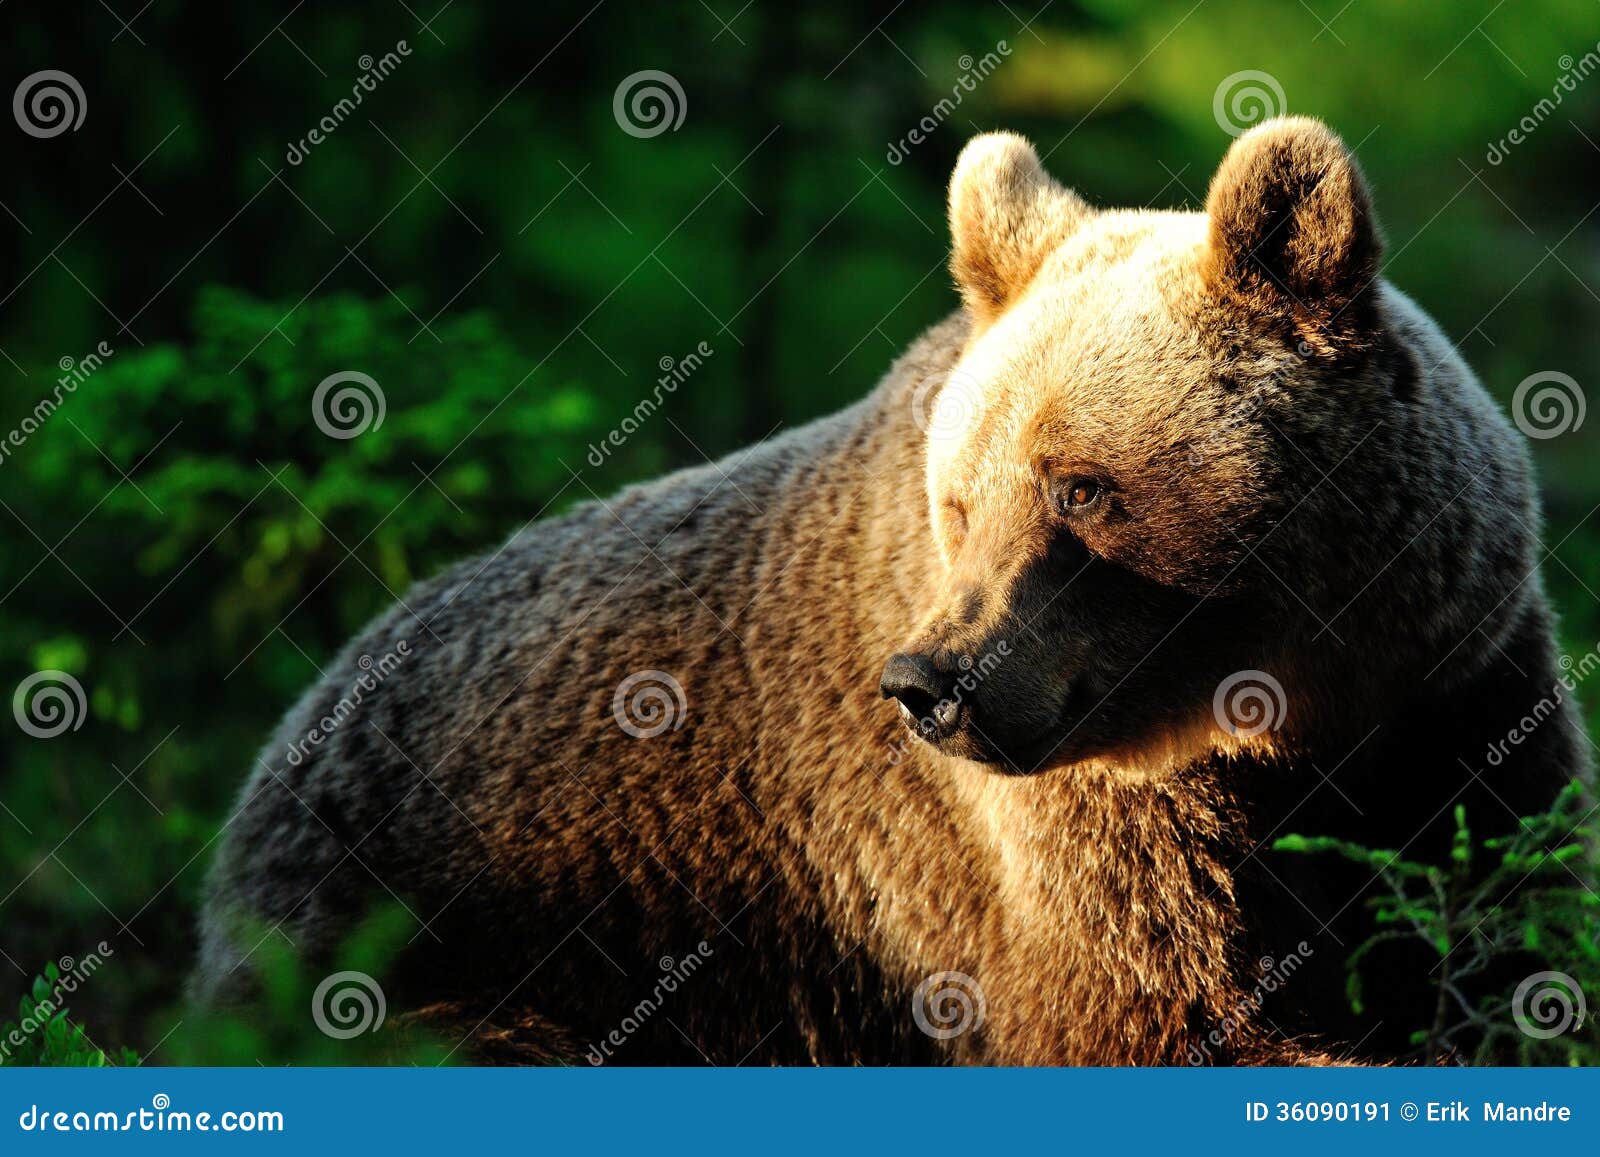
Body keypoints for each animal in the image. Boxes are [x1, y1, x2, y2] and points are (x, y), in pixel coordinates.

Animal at [194, 116, 1588, 1065]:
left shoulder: (1457, 694)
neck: (1292, 713)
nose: (929, 683)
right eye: (959, 500)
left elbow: (1512, 924)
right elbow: (1165, 1008)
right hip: (454, 932)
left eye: (1081, 487)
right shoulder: (1056, 841)